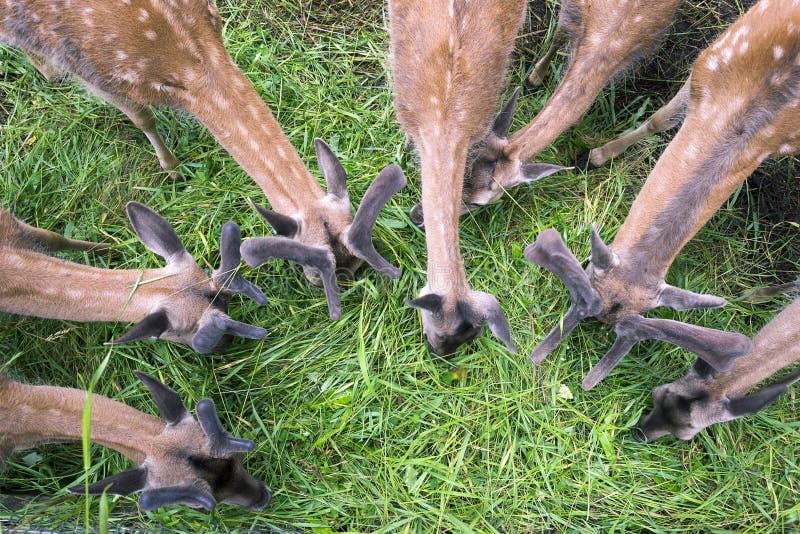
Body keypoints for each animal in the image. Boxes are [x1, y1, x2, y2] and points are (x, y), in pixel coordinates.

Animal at [0, 0, 406, 320]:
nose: (349, 273)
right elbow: (142, 117)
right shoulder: (96, 71)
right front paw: (172, 168)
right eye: (309, 268)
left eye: (357, 252)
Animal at [408, 0, 684, 225]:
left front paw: (591, 158)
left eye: (478, 202)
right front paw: (534, 78)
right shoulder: (576, 9)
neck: (611, 35)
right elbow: (559, 33)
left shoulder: (649, 39)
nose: (416, 216)